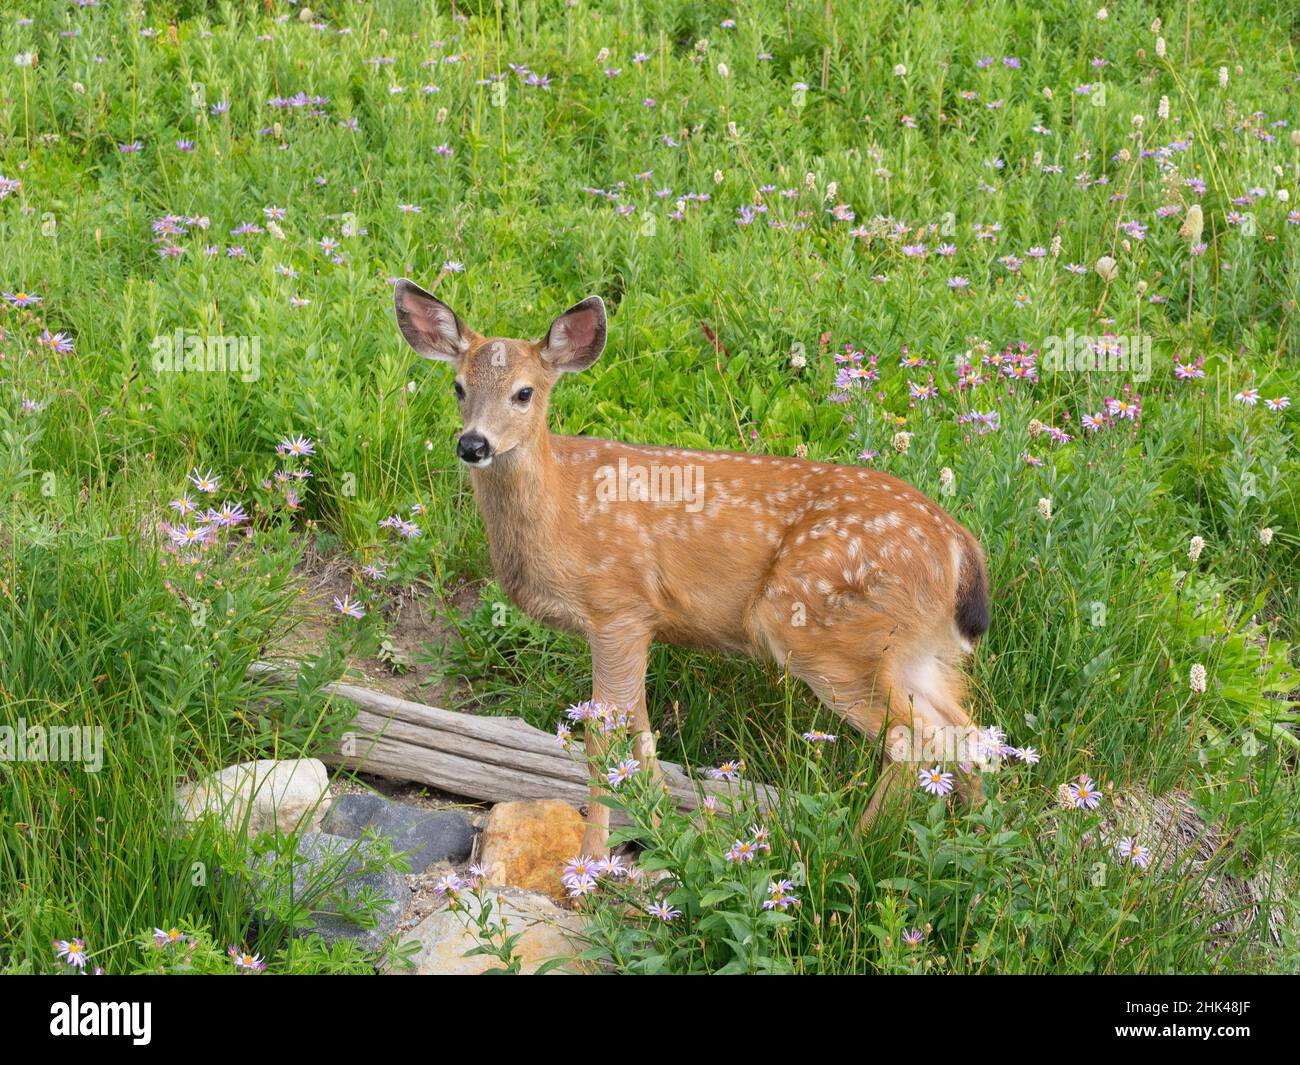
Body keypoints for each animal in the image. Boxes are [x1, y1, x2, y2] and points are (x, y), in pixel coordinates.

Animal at [393, 280, 990, 857]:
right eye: (458, 387)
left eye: (524, 392)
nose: (473, 444)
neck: (562, 511)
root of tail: (960, 547)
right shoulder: (640, 626)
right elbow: (643, 736)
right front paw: (667, 839)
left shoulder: (617, 607)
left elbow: (604, 741)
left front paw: (591, 864)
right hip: (913, 648)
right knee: (968, 730)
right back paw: (976, 833)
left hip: (827, 632)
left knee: (913, 740)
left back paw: (847, 848)